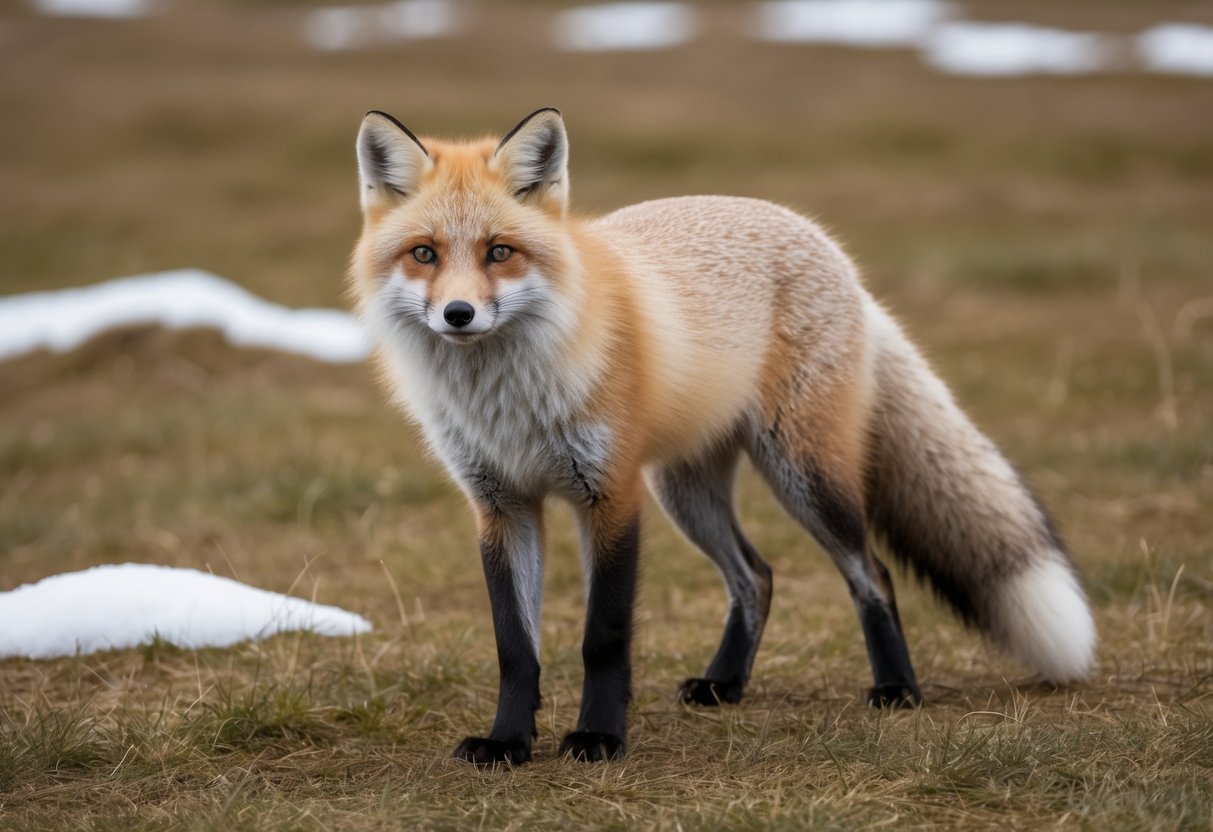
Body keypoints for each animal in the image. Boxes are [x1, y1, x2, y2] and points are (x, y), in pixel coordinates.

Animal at [347, 107, 1097, 766]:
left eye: (499, 252)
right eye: (424, 254)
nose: (458, 313)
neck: (506, 398)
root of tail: (830, 250)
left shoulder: (610, 495)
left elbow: (604, 636)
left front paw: (599, 738)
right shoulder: (501, 505)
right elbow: (515, 647)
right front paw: (507, 742)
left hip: (802, 475)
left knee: (872, 573)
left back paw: (896, 688)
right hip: (687, 491)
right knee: (755, 576)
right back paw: (725, 683)